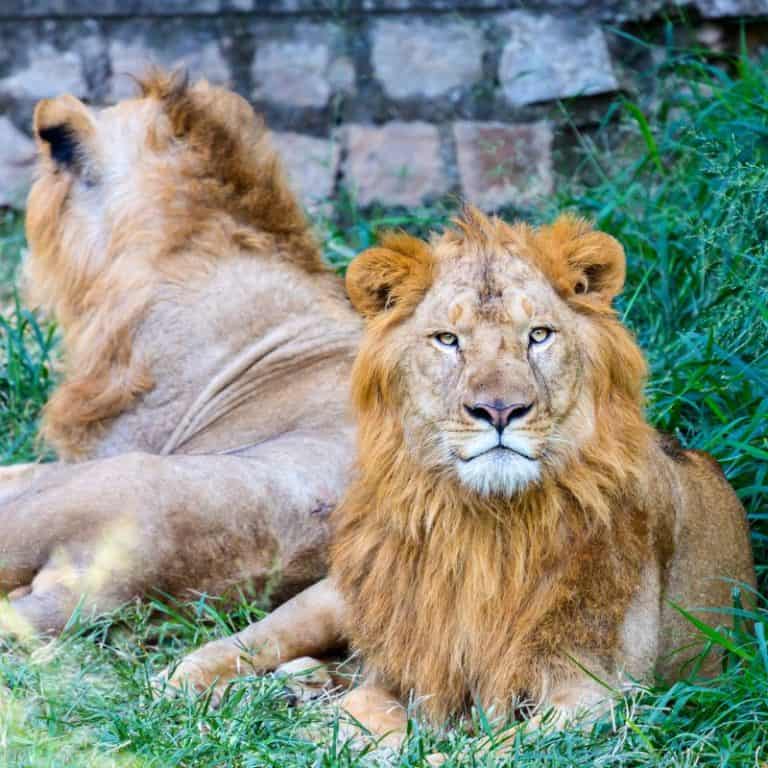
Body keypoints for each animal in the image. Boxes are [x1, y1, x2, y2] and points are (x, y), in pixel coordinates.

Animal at [163, 207, 755, 747]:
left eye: (539, 335)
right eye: (447, 339)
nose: (499, 410)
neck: (489, 522)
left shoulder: (599, 692)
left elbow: (493, 750)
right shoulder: (404, 666)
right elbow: (373, 711)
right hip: (335, 597)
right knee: (249, 641)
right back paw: (189, 685)